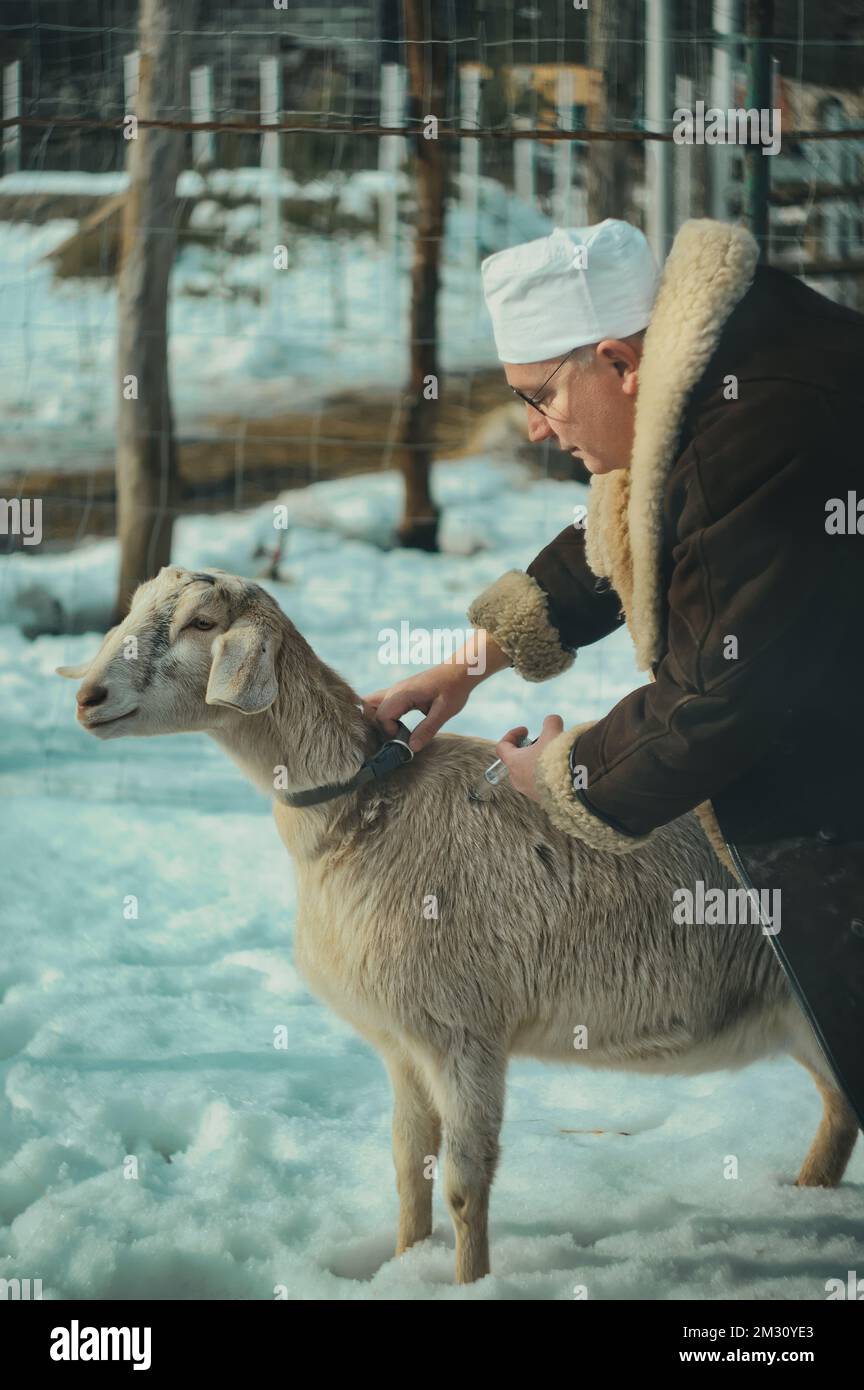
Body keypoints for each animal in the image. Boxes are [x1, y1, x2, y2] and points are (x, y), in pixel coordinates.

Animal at [59, 565, 859, 1284]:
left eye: (201, 623)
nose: (88, 697)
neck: (362, 816)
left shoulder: (463, 1031)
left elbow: (465, 1182)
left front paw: (470, 1280)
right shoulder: (402, 1040)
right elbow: (408, 1164)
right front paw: (405, 1262)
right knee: (840, 1113)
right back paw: (803, 1197)